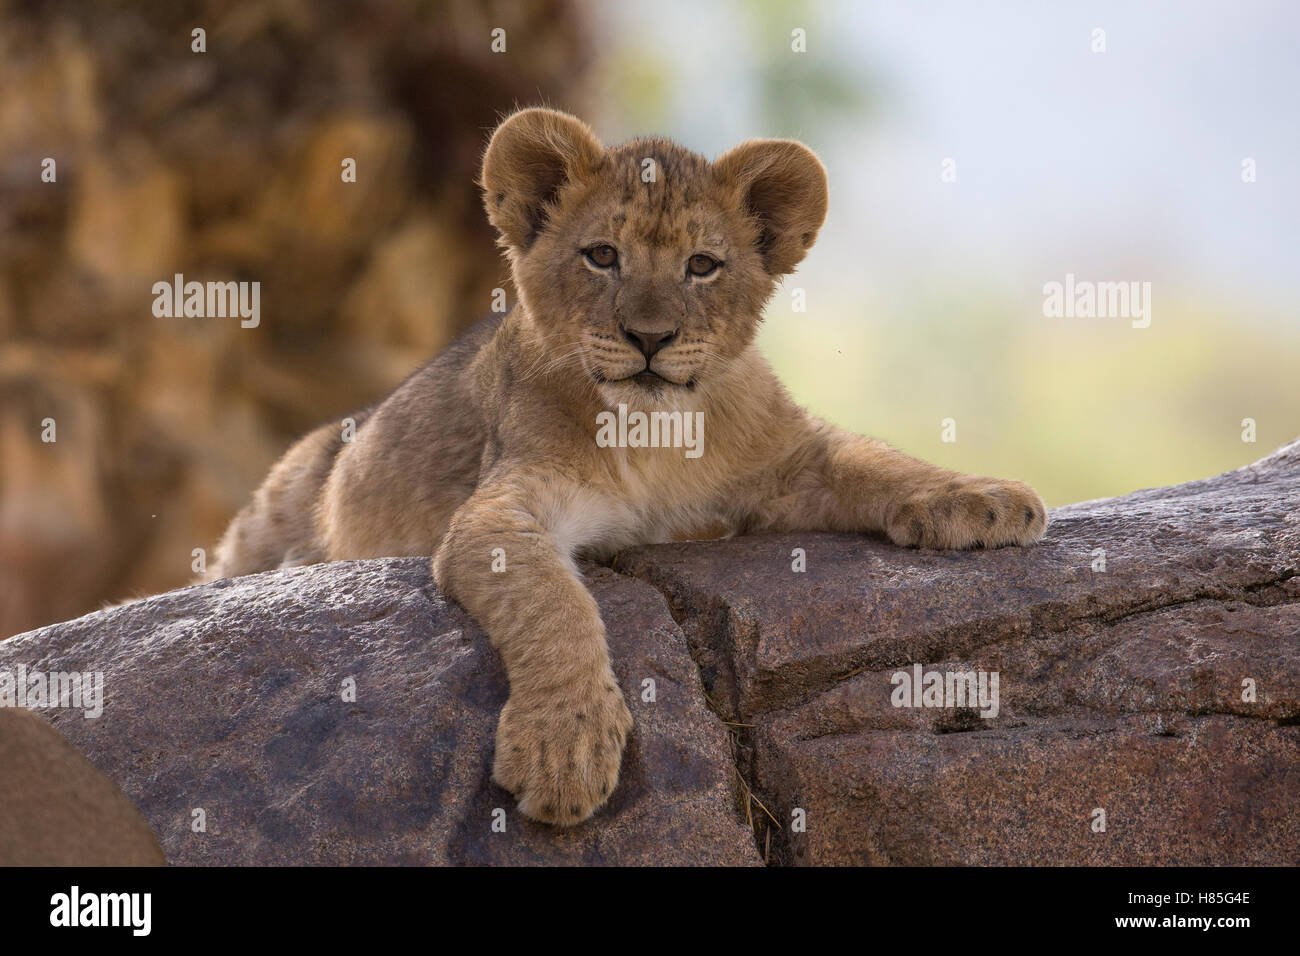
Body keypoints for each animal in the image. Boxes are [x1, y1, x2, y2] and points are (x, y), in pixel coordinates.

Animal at [209, 107, 1047, 826]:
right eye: (603, 256)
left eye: (702, 265)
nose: (650, 337)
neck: (655, 435)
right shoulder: (504, 507)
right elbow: (553, 606)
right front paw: (565, 744)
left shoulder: (790, 460)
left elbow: (874, 458)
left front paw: (987, 498)